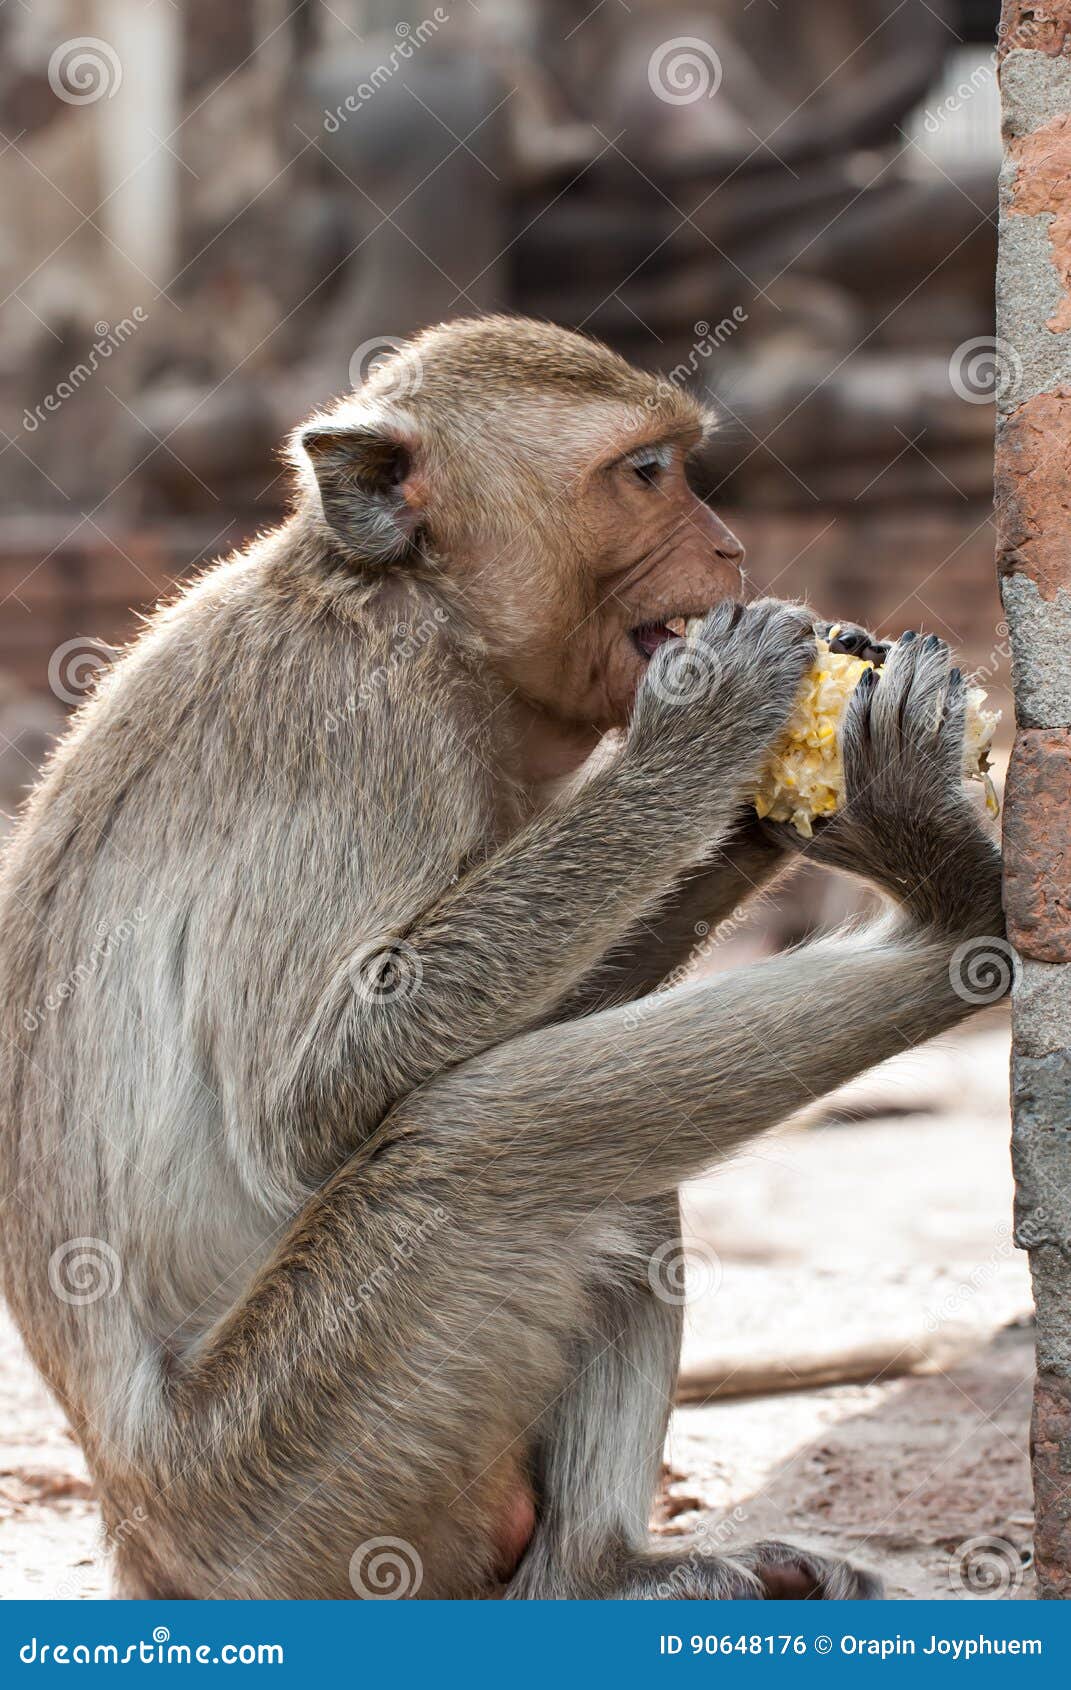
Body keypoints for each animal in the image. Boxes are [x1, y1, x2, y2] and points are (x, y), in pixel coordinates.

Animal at [0, 316, 1004, 1601]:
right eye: (647, 473)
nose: (730, 546)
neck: (416, 605)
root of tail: (141, 1540)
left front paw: (755, 809)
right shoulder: (366, 727)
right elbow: (308, 1104)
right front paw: (709, 728)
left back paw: (602, 1568)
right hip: (287, 1479)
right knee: (474, 1144)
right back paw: (957, 913)